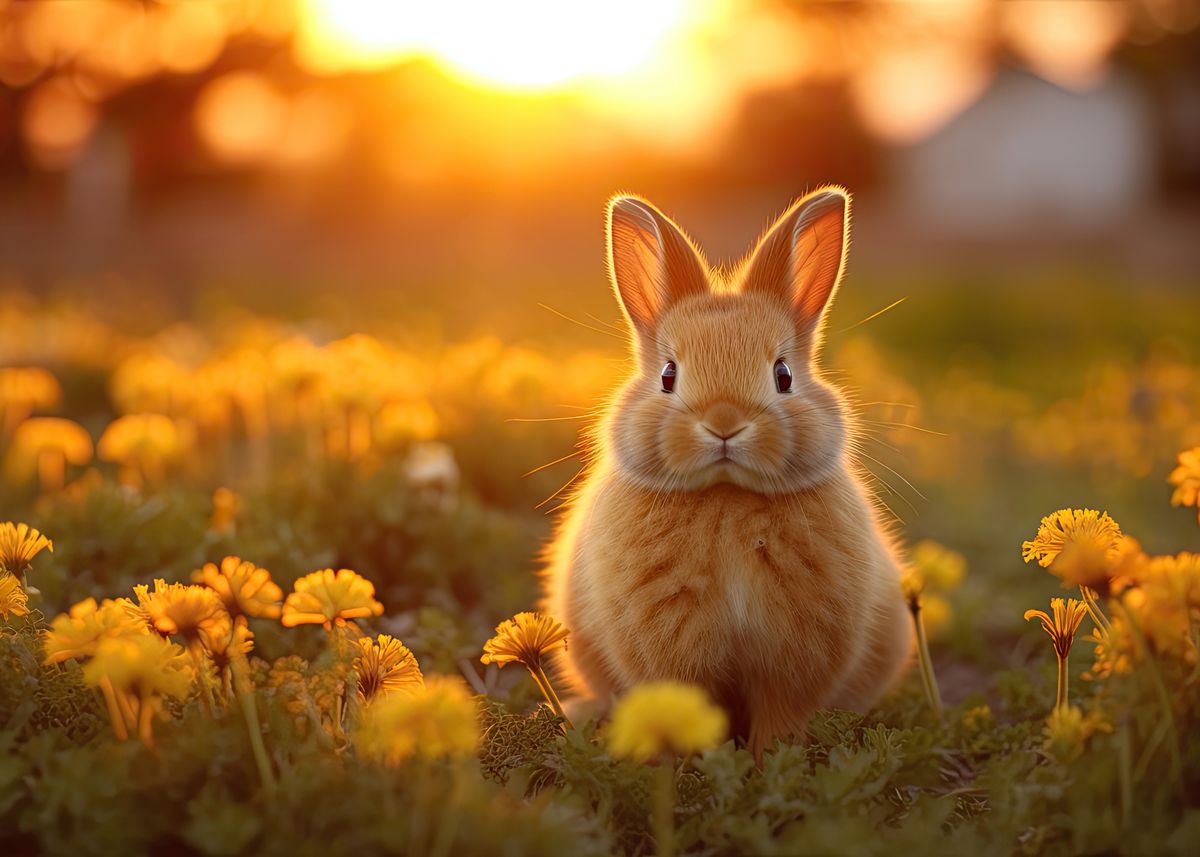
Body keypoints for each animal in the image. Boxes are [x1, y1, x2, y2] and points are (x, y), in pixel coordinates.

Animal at [541, 187, 913, 759]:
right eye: (668, 375)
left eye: (783, 375)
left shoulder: (792, 660)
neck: (726, 497)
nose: (723, 424)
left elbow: (781, 715)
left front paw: (769, 760)